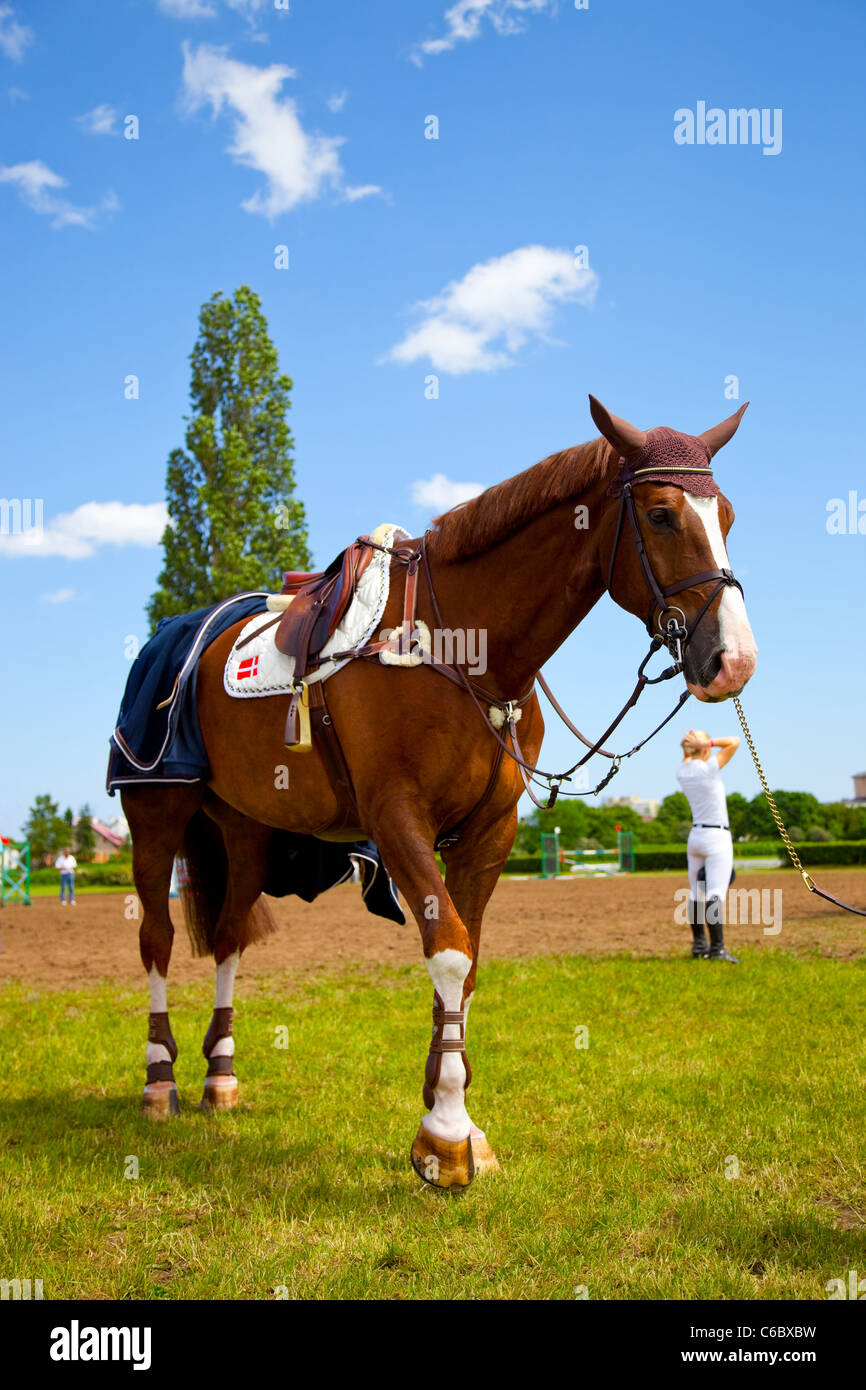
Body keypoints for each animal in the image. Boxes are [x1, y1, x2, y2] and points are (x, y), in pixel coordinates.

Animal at [121, 395, 757, 1189]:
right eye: (664, 514)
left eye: (726, 514)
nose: (734, 659)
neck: (462, 648)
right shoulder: (398, 819)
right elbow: (449, 949)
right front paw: (449, 1133)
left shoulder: (490, 829)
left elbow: (468, 961)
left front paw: (448, 1115)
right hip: (155, 812)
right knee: (157, 938)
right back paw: (159, 1082)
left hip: (245, 829)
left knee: (231, 937)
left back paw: (221, 1077)